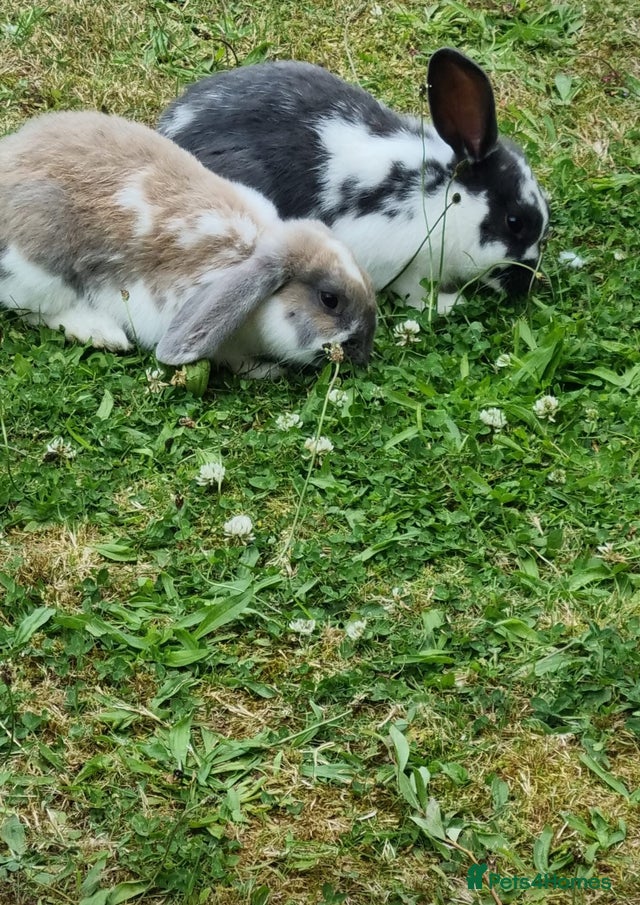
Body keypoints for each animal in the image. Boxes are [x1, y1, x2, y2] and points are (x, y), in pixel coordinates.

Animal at [0, 111, 376, 378]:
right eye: (329, 300)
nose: (363, 352)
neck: (251, 250)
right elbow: (237, 361)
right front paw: (268, 371)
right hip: (38, 271)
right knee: (39, 310)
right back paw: (104, 333)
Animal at [158, 47, 550, 314]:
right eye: (514, 222)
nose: (526, 283)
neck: (440, 195)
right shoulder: (401, 263)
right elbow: (415, 293)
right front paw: (451, 304)